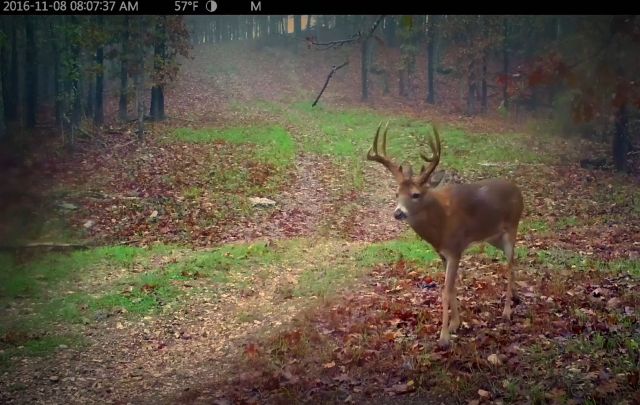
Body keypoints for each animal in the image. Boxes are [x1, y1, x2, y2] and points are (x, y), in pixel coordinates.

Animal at [366, 122, 524, 348]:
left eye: (416, 194)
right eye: (397, 194)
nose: (398, 213)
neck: (440, 225)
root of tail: (518, 190)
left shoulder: (455, 248)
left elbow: (445, 291)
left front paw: (444, 337)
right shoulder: (442, 253)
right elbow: (453, 288)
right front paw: (455, 324)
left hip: (512, 227)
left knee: (510, 265)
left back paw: (507, 311)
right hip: (494, 238)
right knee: (514, 262)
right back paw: (516, 298)